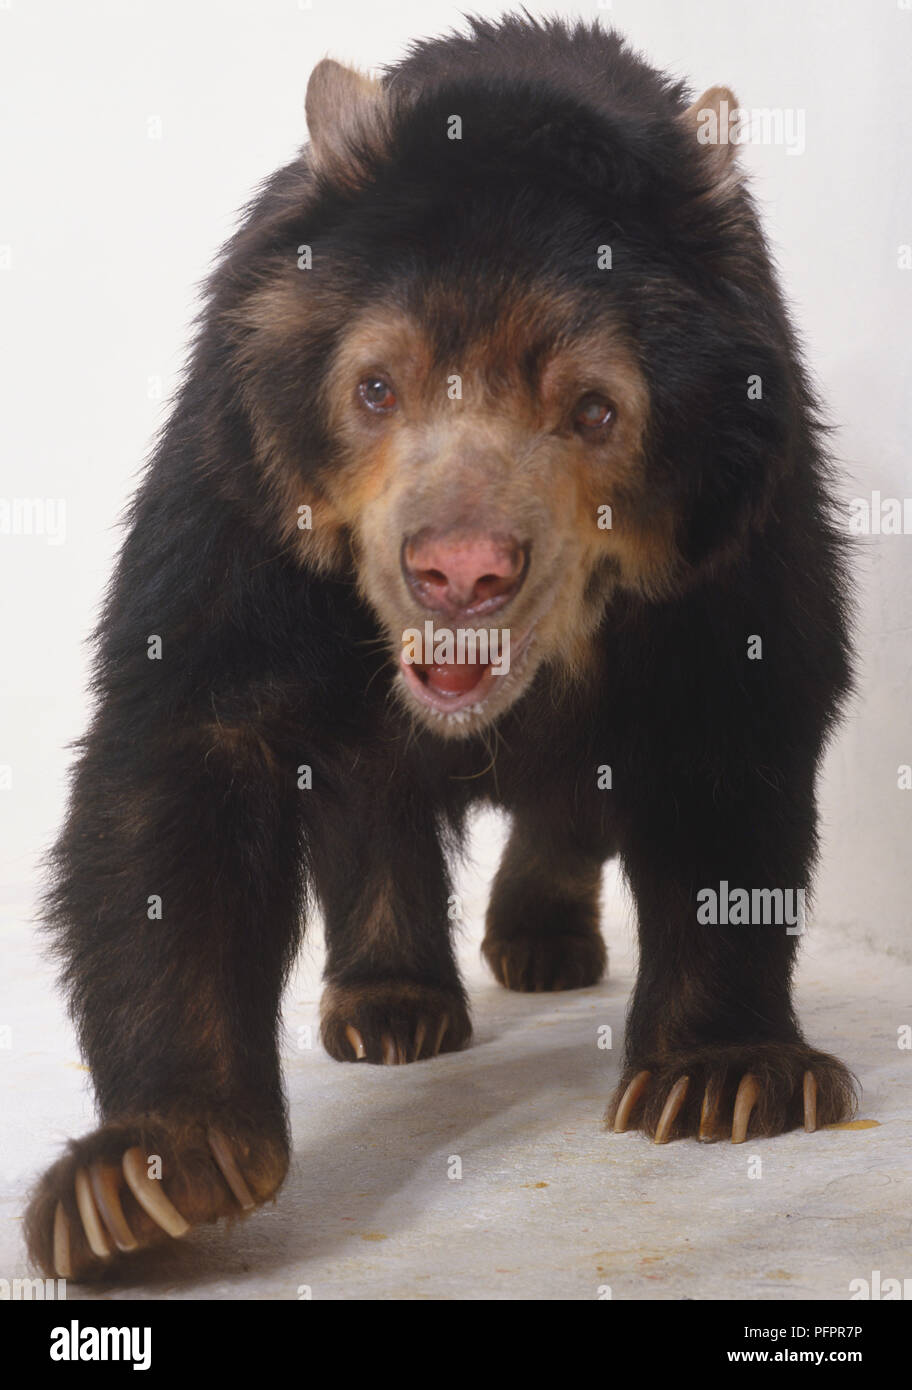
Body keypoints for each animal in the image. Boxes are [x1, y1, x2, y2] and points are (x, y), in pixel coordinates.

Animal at [25, 13, 857, 1282]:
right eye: (375, 387)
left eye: (596, 410)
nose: (460, 572)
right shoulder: (237, 489)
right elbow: (186, 757)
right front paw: (140, 1182)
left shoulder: (737, 536)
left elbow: (730, 742)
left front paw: (723, 1077)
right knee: (369, 794)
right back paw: (390, 1003)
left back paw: (539, 938)